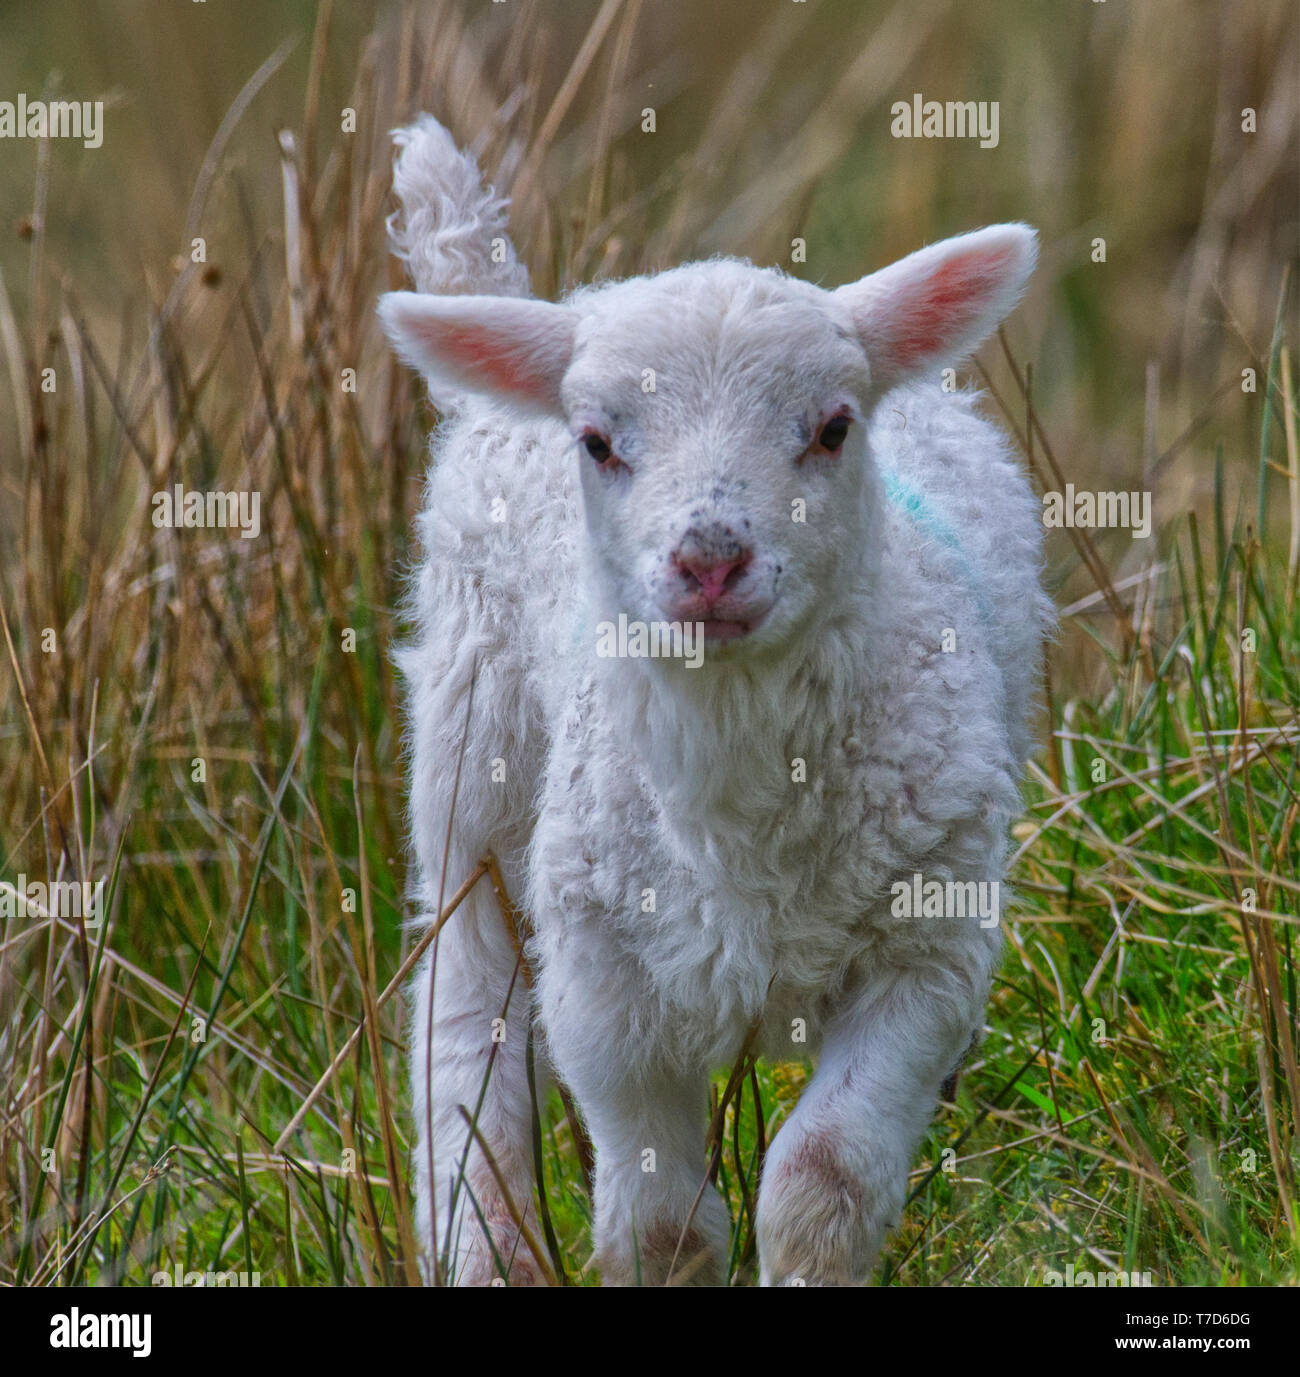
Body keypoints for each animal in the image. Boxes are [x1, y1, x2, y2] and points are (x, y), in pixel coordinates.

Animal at [379, 114, 1051, 1287]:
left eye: (833, 428)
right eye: (598, 442)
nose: (708, 560)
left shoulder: (924, 949)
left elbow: (822, 1181)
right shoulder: (604, 987)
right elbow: (661, 1227)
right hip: (472, 764)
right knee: (462, 1026)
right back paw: (486, 1244)